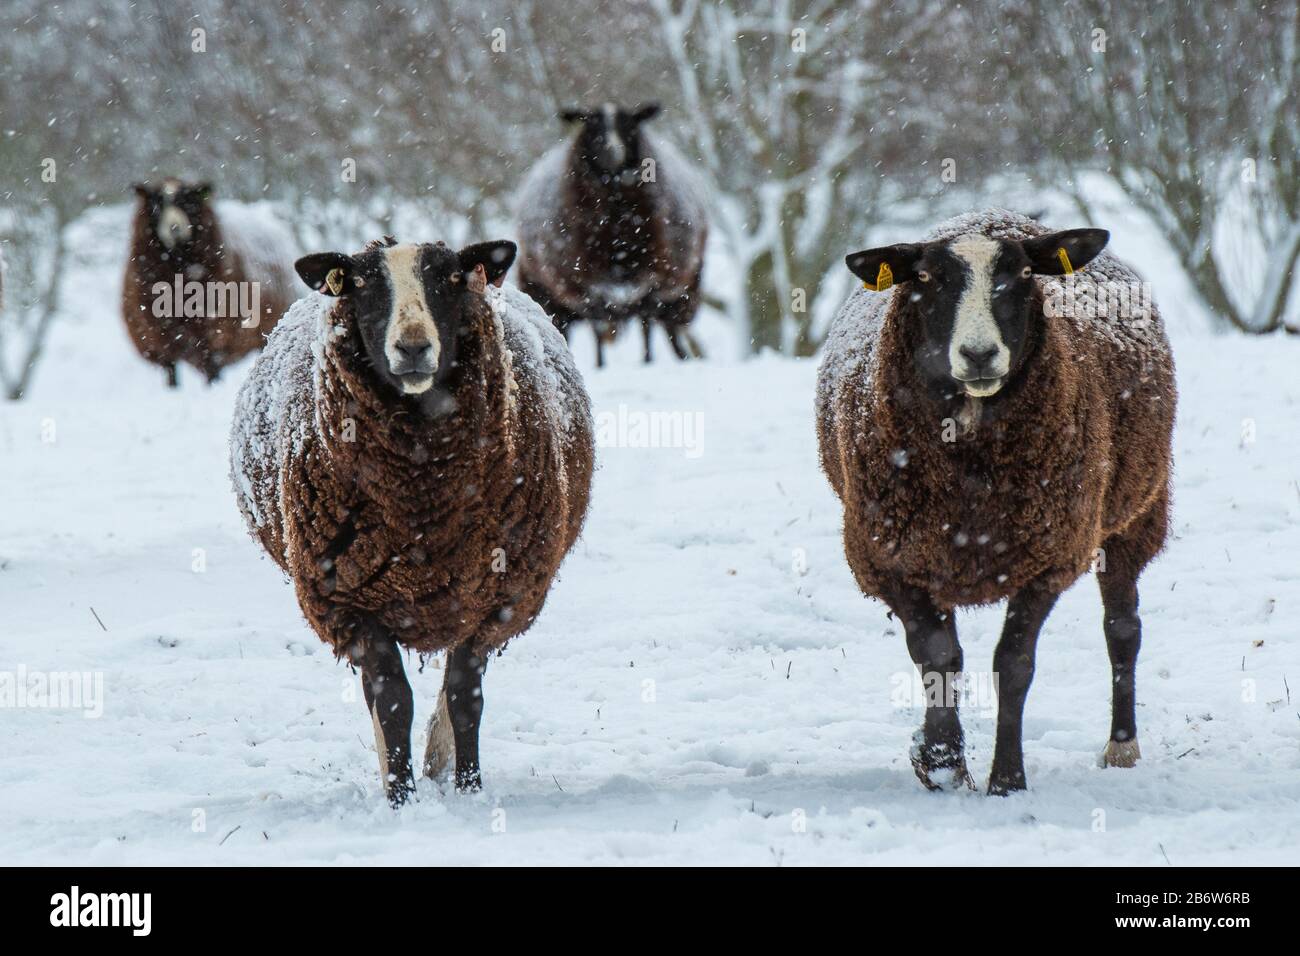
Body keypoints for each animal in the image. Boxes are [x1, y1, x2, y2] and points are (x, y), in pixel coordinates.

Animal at [123, 178, 297, 387]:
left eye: (189, 202)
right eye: (157, 205)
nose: (174, 229)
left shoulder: (216, 332)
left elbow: (211, 365)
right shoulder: (159, 339)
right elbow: (172, 372)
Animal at [229, 236, 594, 805]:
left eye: (450, 279)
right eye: (363, 286)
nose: (414, 348)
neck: (421, 501)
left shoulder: (493, 596)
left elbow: (465, 697)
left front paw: (469, 790)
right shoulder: (350, 602)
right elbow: (392, 700)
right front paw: (400, 799)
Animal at [515, 102, 708, 367]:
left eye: (629, 124)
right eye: (590, 124)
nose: (611, 151)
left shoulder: (651, 278)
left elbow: (646, 325)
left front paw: (647, 362)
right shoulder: (587, 282)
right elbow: (598, 325)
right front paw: (601, 365)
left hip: (683, 292)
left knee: (667, 327)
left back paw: (682, 358)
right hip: (546, 293)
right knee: (566, 327)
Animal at [816, 209, 1175, 795]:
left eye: (1025, 274)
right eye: (925, 278)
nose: (979, 354)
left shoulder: (1051, 555)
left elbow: (1014, 664)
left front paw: (1007, 779)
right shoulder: (891, 558)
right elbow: (938, 657)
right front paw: (940, 760)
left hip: (1134, 515)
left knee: (1123, 630)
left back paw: (1122, 746)